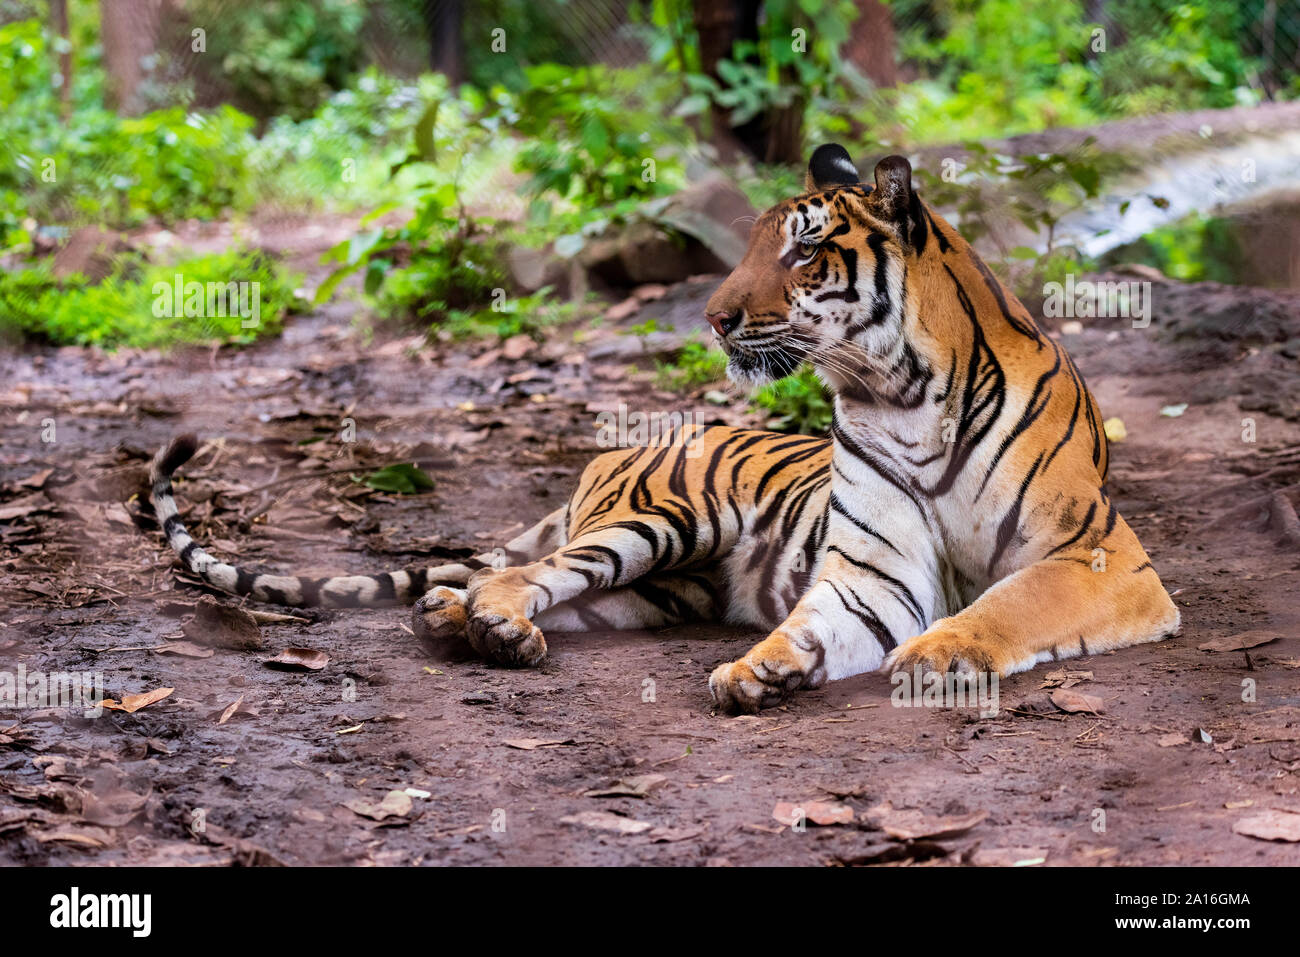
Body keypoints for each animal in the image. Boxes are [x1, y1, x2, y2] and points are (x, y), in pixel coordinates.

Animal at [149, 143, 1180, 713]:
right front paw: (770, 666)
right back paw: (483, 621)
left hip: (659, 587)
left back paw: (463, 619)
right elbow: (836, 616)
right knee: (524, 574)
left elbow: (1011, 602)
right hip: (657, 523)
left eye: (803, 250)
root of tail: (614, 450)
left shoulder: (1099, 557)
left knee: (520, 586)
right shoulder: (873, 571)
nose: (714, 318)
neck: (902, 390)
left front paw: (919, 652)